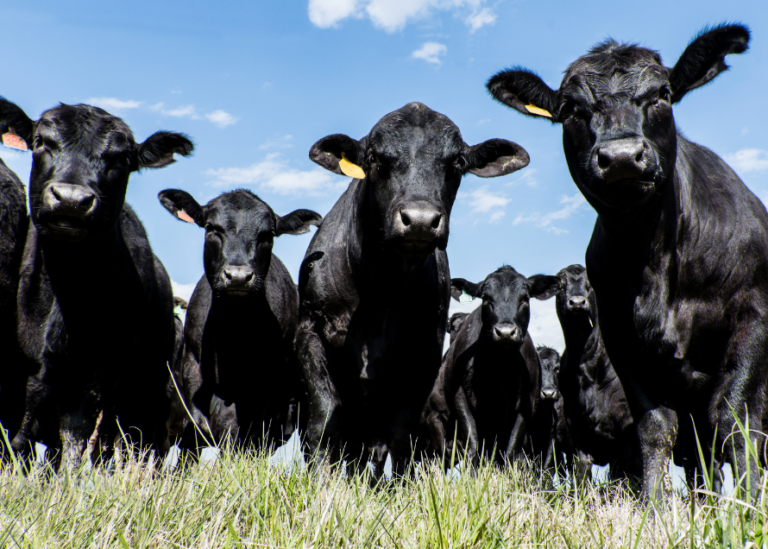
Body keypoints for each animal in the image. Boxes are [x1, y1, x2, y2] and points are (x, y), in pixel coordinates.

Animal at [0, 99, 193, 472]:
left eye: (122, 158)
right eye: (42, 141)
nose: (71, 200)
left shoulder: (101, 371)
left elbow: (77, 437)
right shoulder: (31, 367)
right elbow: (25, 432)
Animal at [158, 189, 322, 450]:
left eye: (267, 234)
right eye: (211, 228)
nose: (237, 277)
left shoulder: (268, 381)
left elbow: (246, 433)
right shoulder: (192, 366)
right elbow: (201, 425)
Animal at [297, 102, 530, 477]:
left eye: (457, 162)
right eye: (374, 158)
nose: (420, 220)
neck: (383, 290)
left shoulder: (424, 353)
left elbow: (399, 433)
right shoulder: (311, 331)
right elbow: (324, 418)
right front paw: (319, 480)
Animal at [423, 267, 562, 468]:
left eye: (524, 298)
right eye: (486, 298)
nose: (505, 332)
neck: (499, 369)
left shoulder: (526, 405)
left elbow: (510, 451)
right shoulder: (460, 398)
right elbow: (472, 445)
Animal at [487, 24, 765, 499]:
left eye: (663, 94)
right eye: (570, 108)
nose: (620, 157)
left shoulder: (754, 315)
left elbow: (736, 419)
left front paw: (747, 507)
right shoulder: (624, 338)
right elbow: (654, 429)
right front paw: (655, 508)